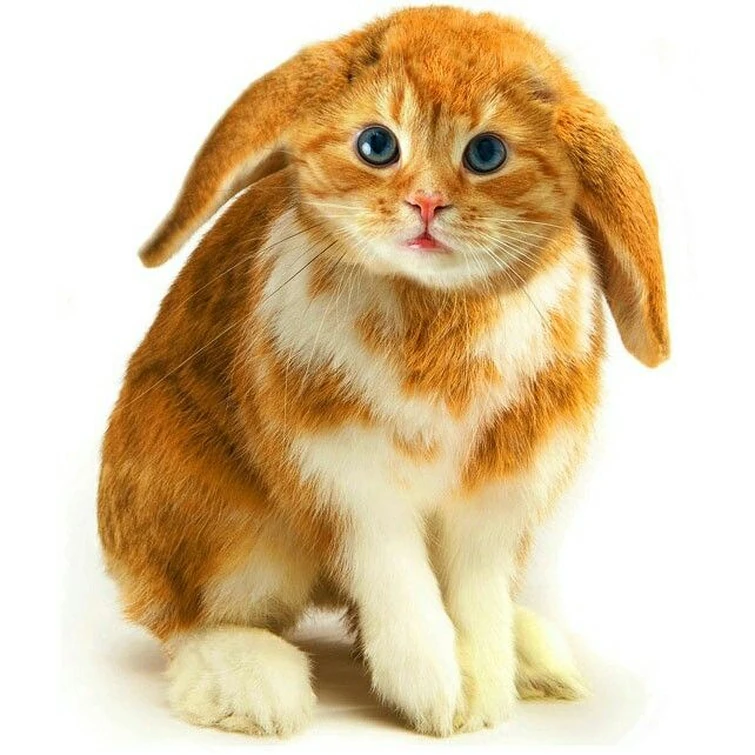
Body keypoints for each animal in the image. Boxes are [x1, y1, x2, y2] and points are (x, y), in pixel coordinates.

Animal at [98, 5, 669, 738]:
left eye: (487, 154)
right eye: (377, 145)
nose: (425, 204)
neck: (436, 302)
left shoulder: (497, 499)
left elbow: (475, 599)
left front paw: (480, 697)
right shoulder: (351, 484)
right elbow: (400, 585)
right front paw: (435, 696)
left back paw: (535, 659)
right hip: (220, 520)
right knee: (191, 617)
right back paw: (254, 687)